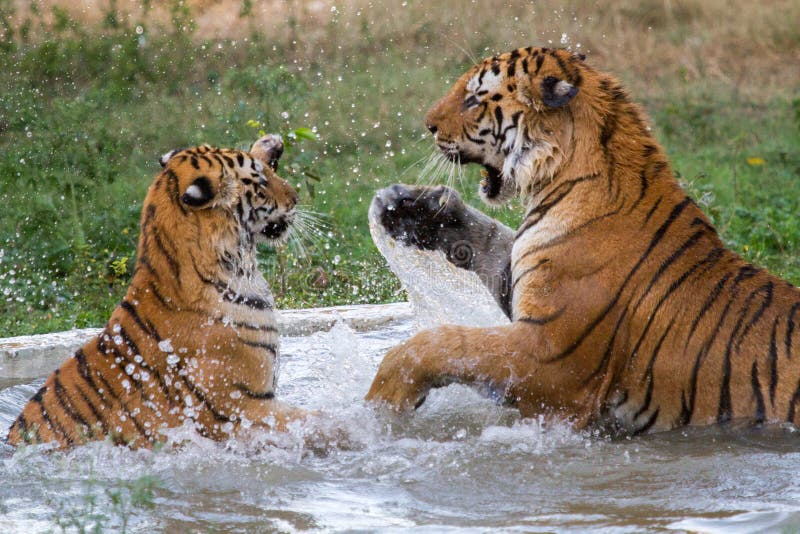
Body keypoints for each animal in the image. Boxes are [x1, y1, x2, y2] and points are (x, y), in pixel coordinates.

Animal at [366, 46, 800, 435]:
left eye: (474, 98)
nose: (428, 124)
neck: (559, 181)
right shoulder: (524, 277)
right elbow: (488, 238)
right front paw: (410, 209)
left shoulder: (552, 358)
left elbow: (447, 341)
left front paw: (385, 395)